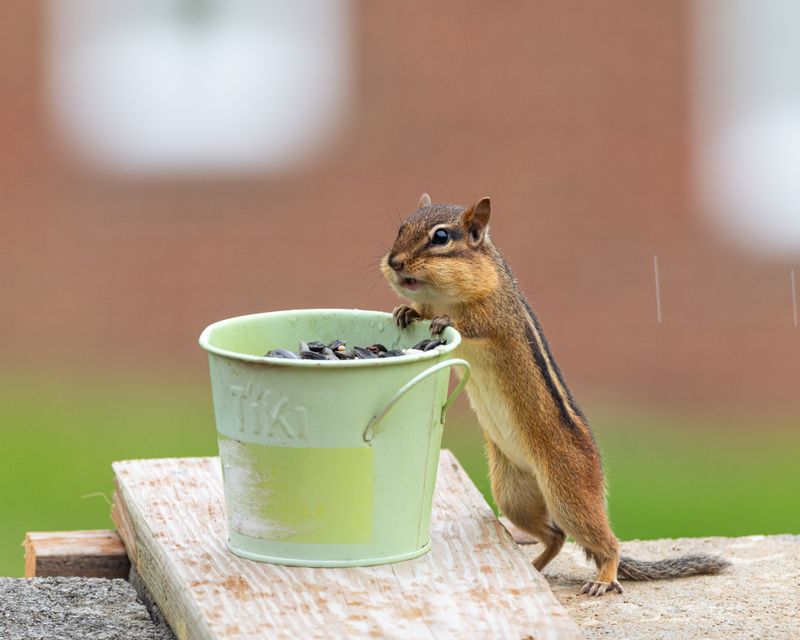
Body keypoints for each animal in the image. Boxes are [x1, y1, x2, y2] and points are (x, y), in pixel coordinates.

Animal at [381, 193, 730, 596]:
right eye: (401, 227)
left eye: (440, 237)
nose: (394, 262)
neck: (446, 295)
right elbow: (420, 311)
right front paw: (405, 311)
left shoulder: (498, 315)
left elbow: (474, 324)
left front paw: (446, 321)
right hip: (512, 494)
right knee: (556, 537)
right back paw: (534, 568)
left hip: (568, 495)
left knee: (602, 541)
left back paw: (603, 578)